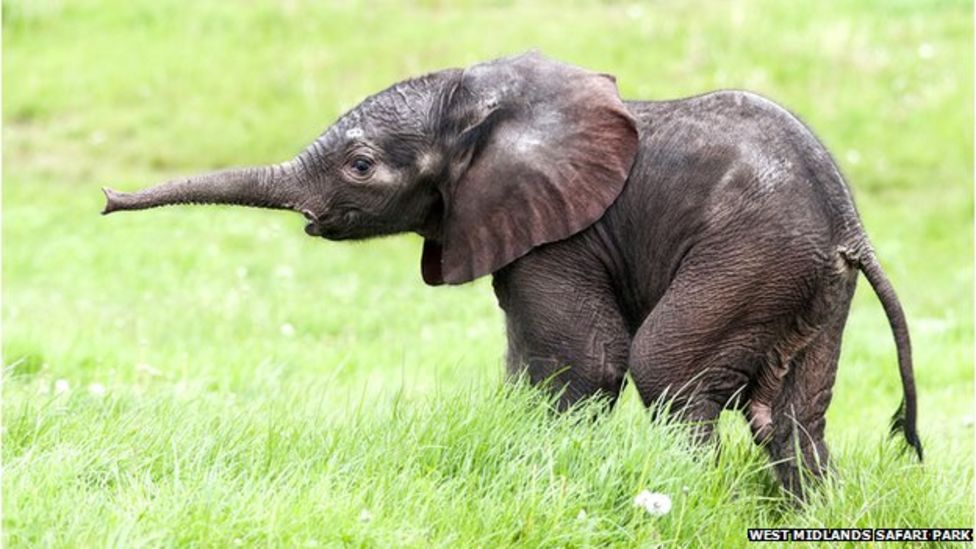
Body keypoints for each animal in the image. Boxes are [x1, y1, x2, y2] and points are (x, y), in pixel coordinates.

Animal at [102, 52, 921, 498]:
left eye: (361, 166)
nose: (107, 199)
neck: (481, 105)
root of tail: (849, 228)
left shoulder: (561, 236)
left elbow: (584, 362)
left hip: (749, 258)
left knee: (668, 372)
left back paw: (683, 493)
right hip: (804, 282)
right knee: (791, 417)